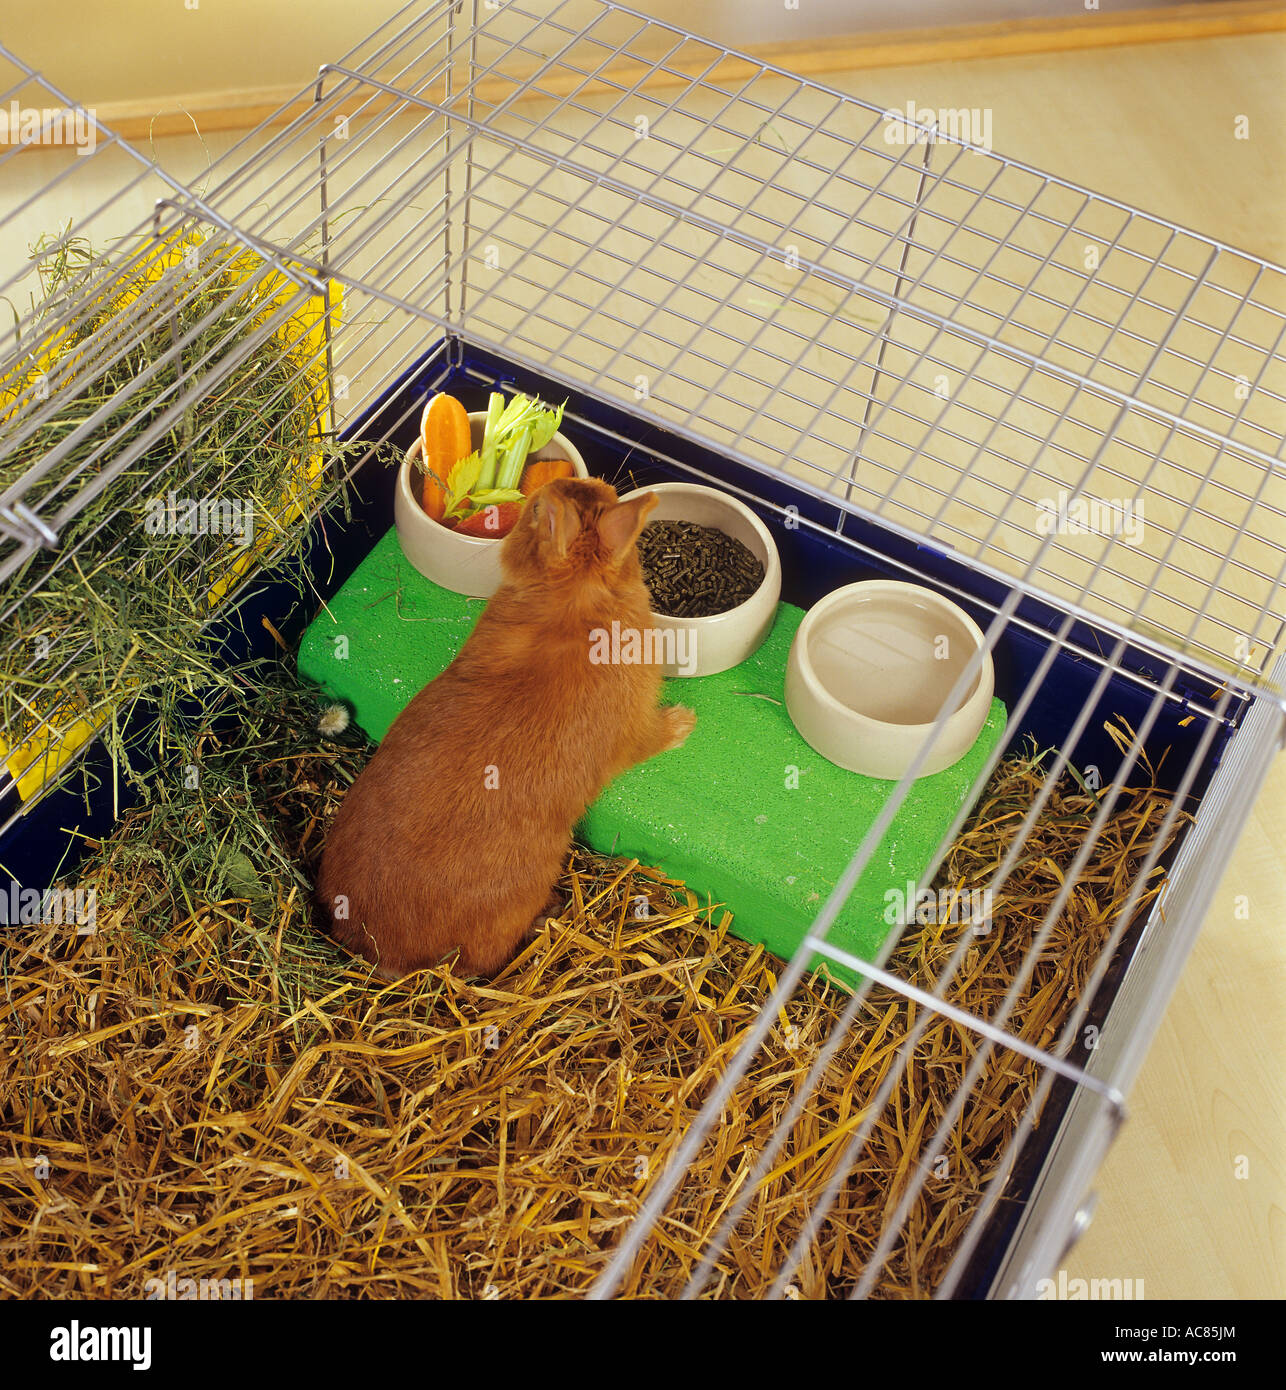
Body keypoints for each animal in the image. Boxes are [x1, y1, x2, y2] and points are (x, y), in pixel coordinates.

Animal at [316, 476, 695, 979]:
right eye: (536, 511)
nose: (557, 484)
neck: (575, 598)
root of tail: (380, 949)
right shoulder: (634, 728)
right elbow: (652, 740)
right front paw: (685, 723)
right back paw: (546, 915)